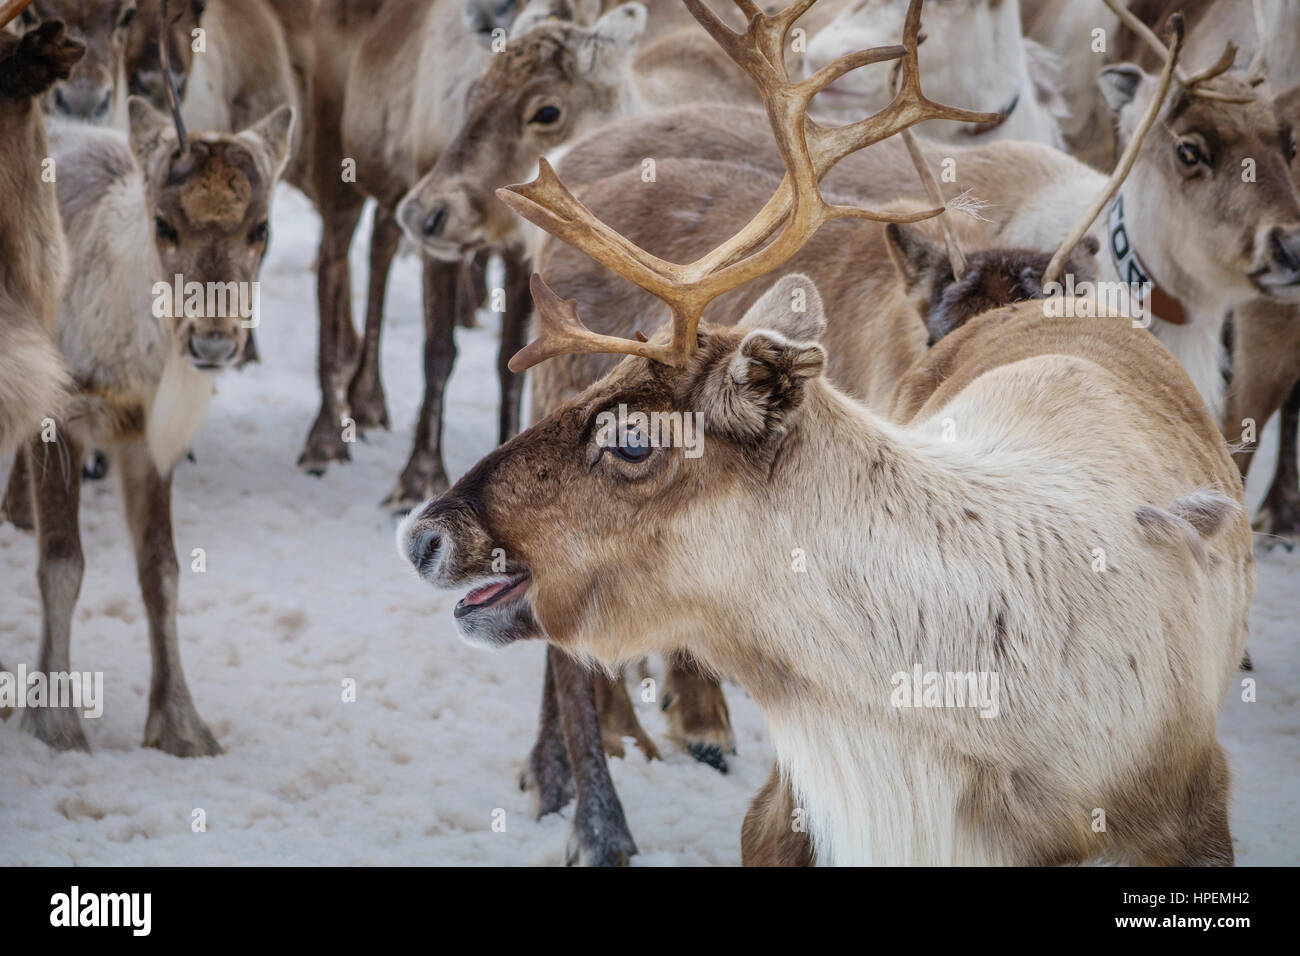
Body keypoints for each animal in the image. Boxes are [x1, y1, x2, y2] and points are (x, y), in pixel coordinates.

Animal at [5, 17, 294, 754]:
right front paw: (53, 721)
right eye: (165, 223)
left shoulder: (147, 437)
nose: (214, 341)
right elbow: (61, 564)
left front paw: (180, 724)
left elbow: (160, 572)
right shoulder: (61, 417)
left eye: (261, 228)